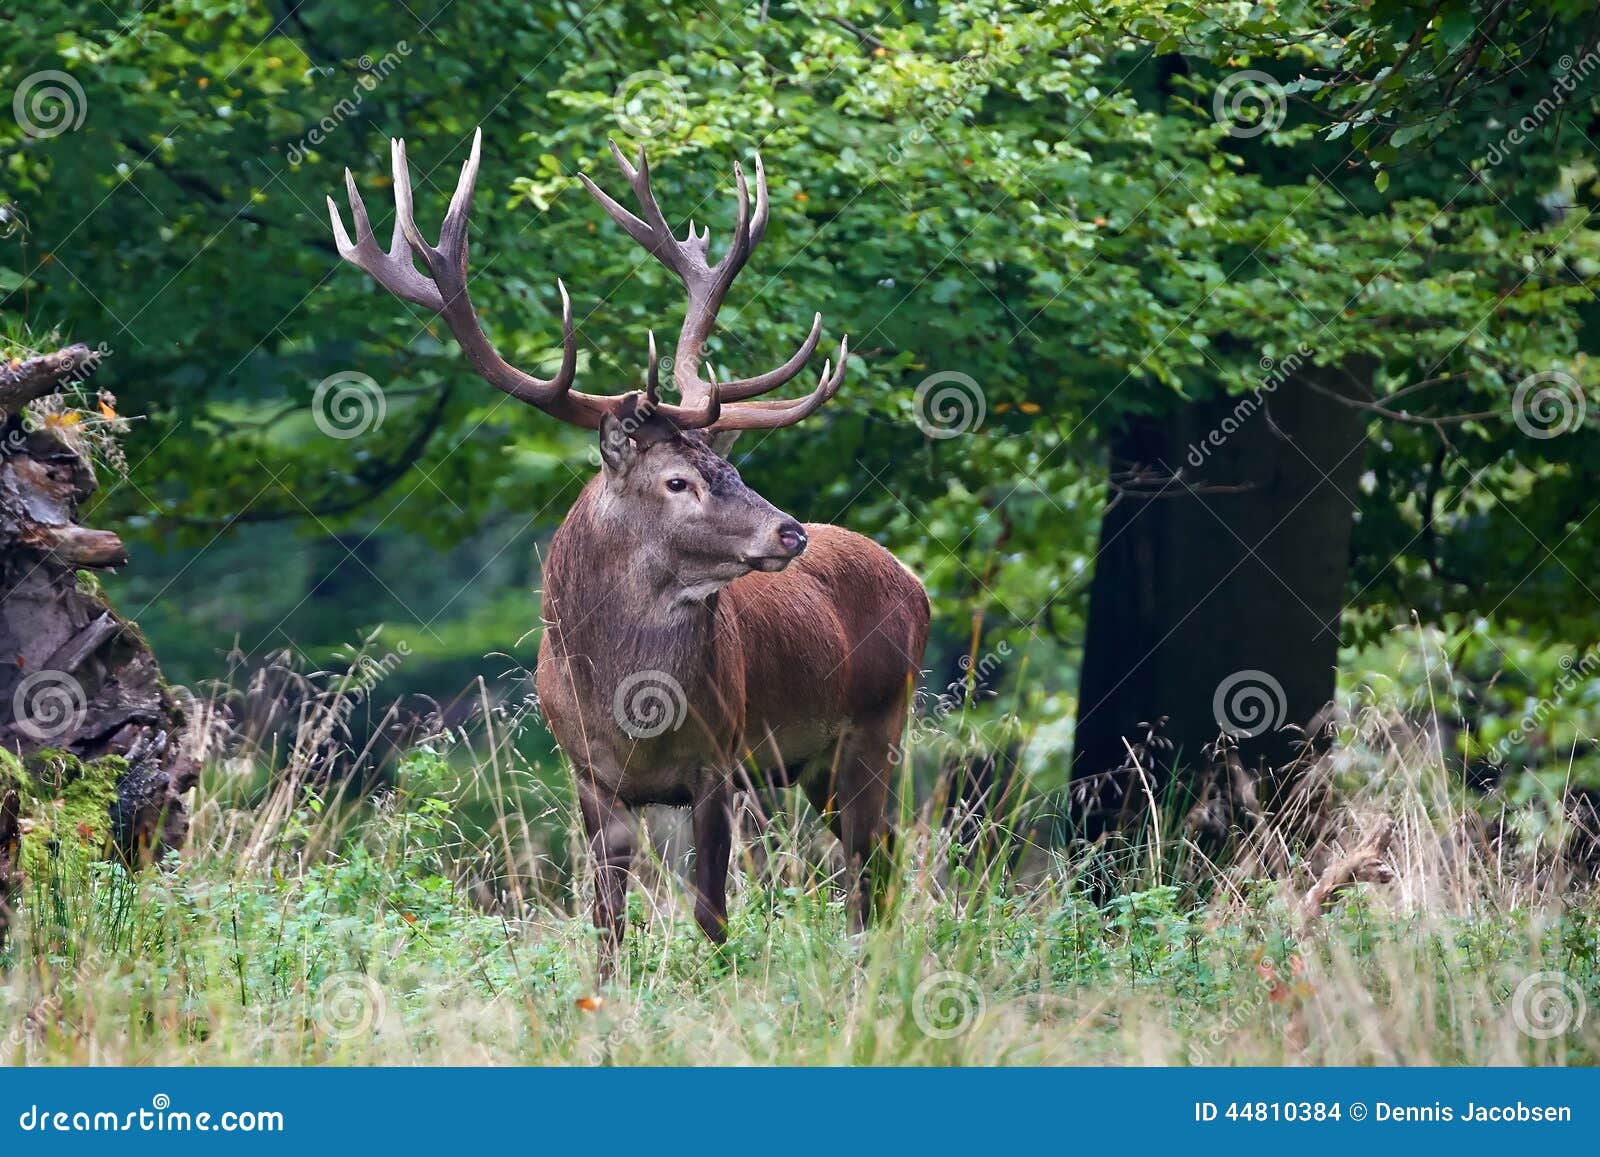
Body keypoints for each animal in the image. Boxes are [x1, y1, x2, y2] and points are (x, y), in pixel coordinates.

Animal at [329, 129, 929, 978]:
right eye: (678, 478)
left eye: (727, 466)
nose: (791, 531)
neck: (634, 708)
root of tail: (915, 580)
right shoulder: (589, 774)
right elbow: (606, 919)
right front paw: (606, 993)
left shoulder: (719, 759)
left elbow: (711, 911)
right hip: (822, 762)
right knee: (875, 848)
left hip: (880, 722)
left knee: (870, 856)